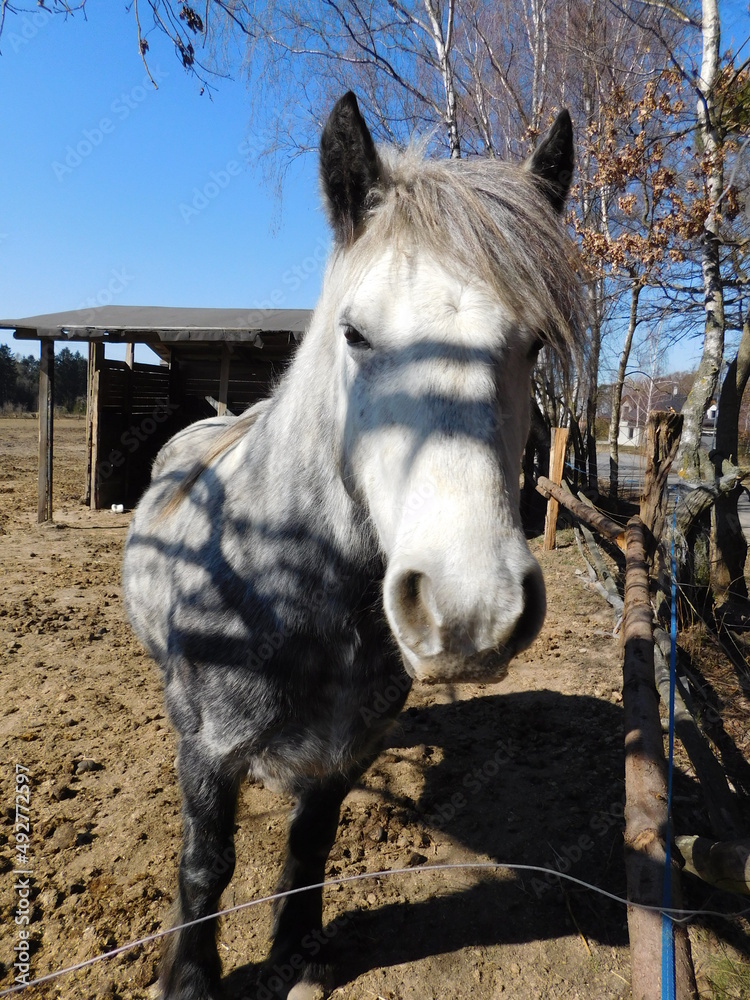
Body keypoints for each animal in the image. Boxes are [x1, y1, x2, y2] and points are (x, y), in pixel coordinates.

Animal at [122, 92, 584, 1000]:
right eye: (357, 334)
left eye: (536, 344)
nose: (470, 608)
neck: (275, 581)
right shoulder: (208, 754)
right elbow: (205, 866)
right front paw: (189, 977)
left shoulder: (348, 750)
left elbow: (311, 846)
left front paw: (298, 948)